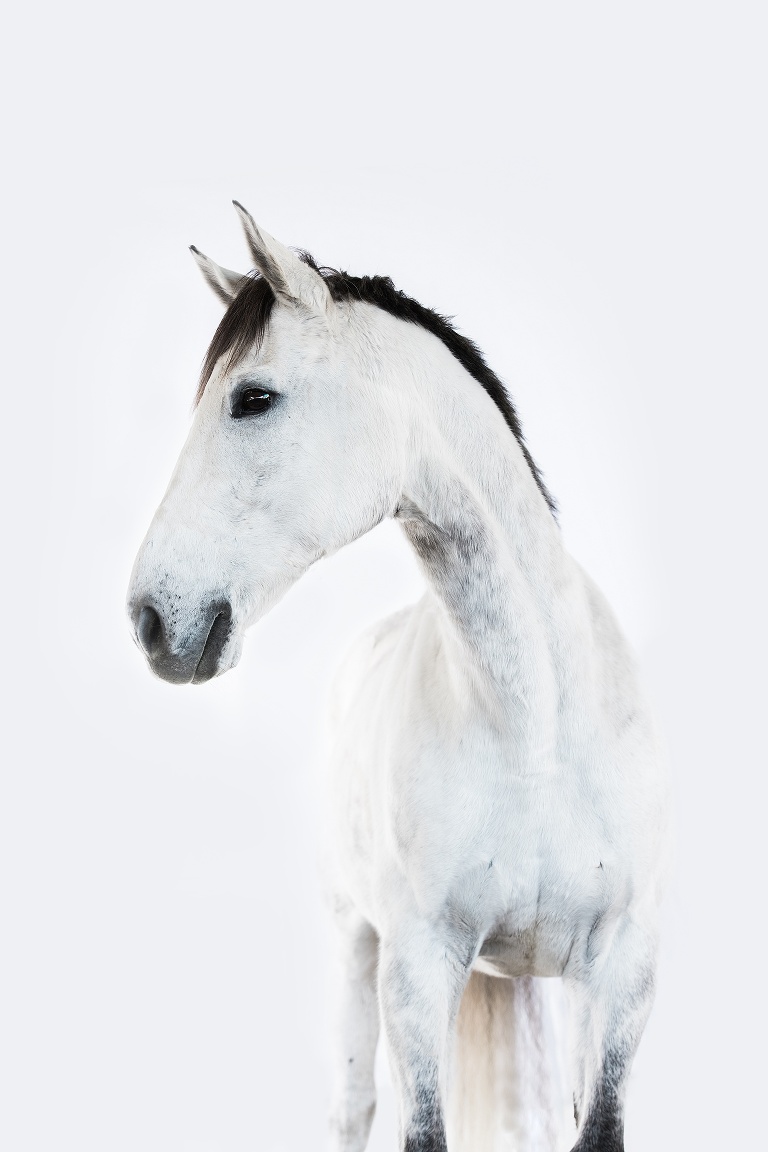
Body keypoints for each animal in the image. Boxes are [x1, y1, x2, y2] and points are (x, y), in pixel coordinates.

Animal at [127, 202, 669, 1152]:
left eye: (252, 398)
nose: (152, 617)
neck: (537, 728)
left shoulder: (621, 975)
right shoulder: (417, 975)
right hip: (356, 946)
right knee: (351, 1110)